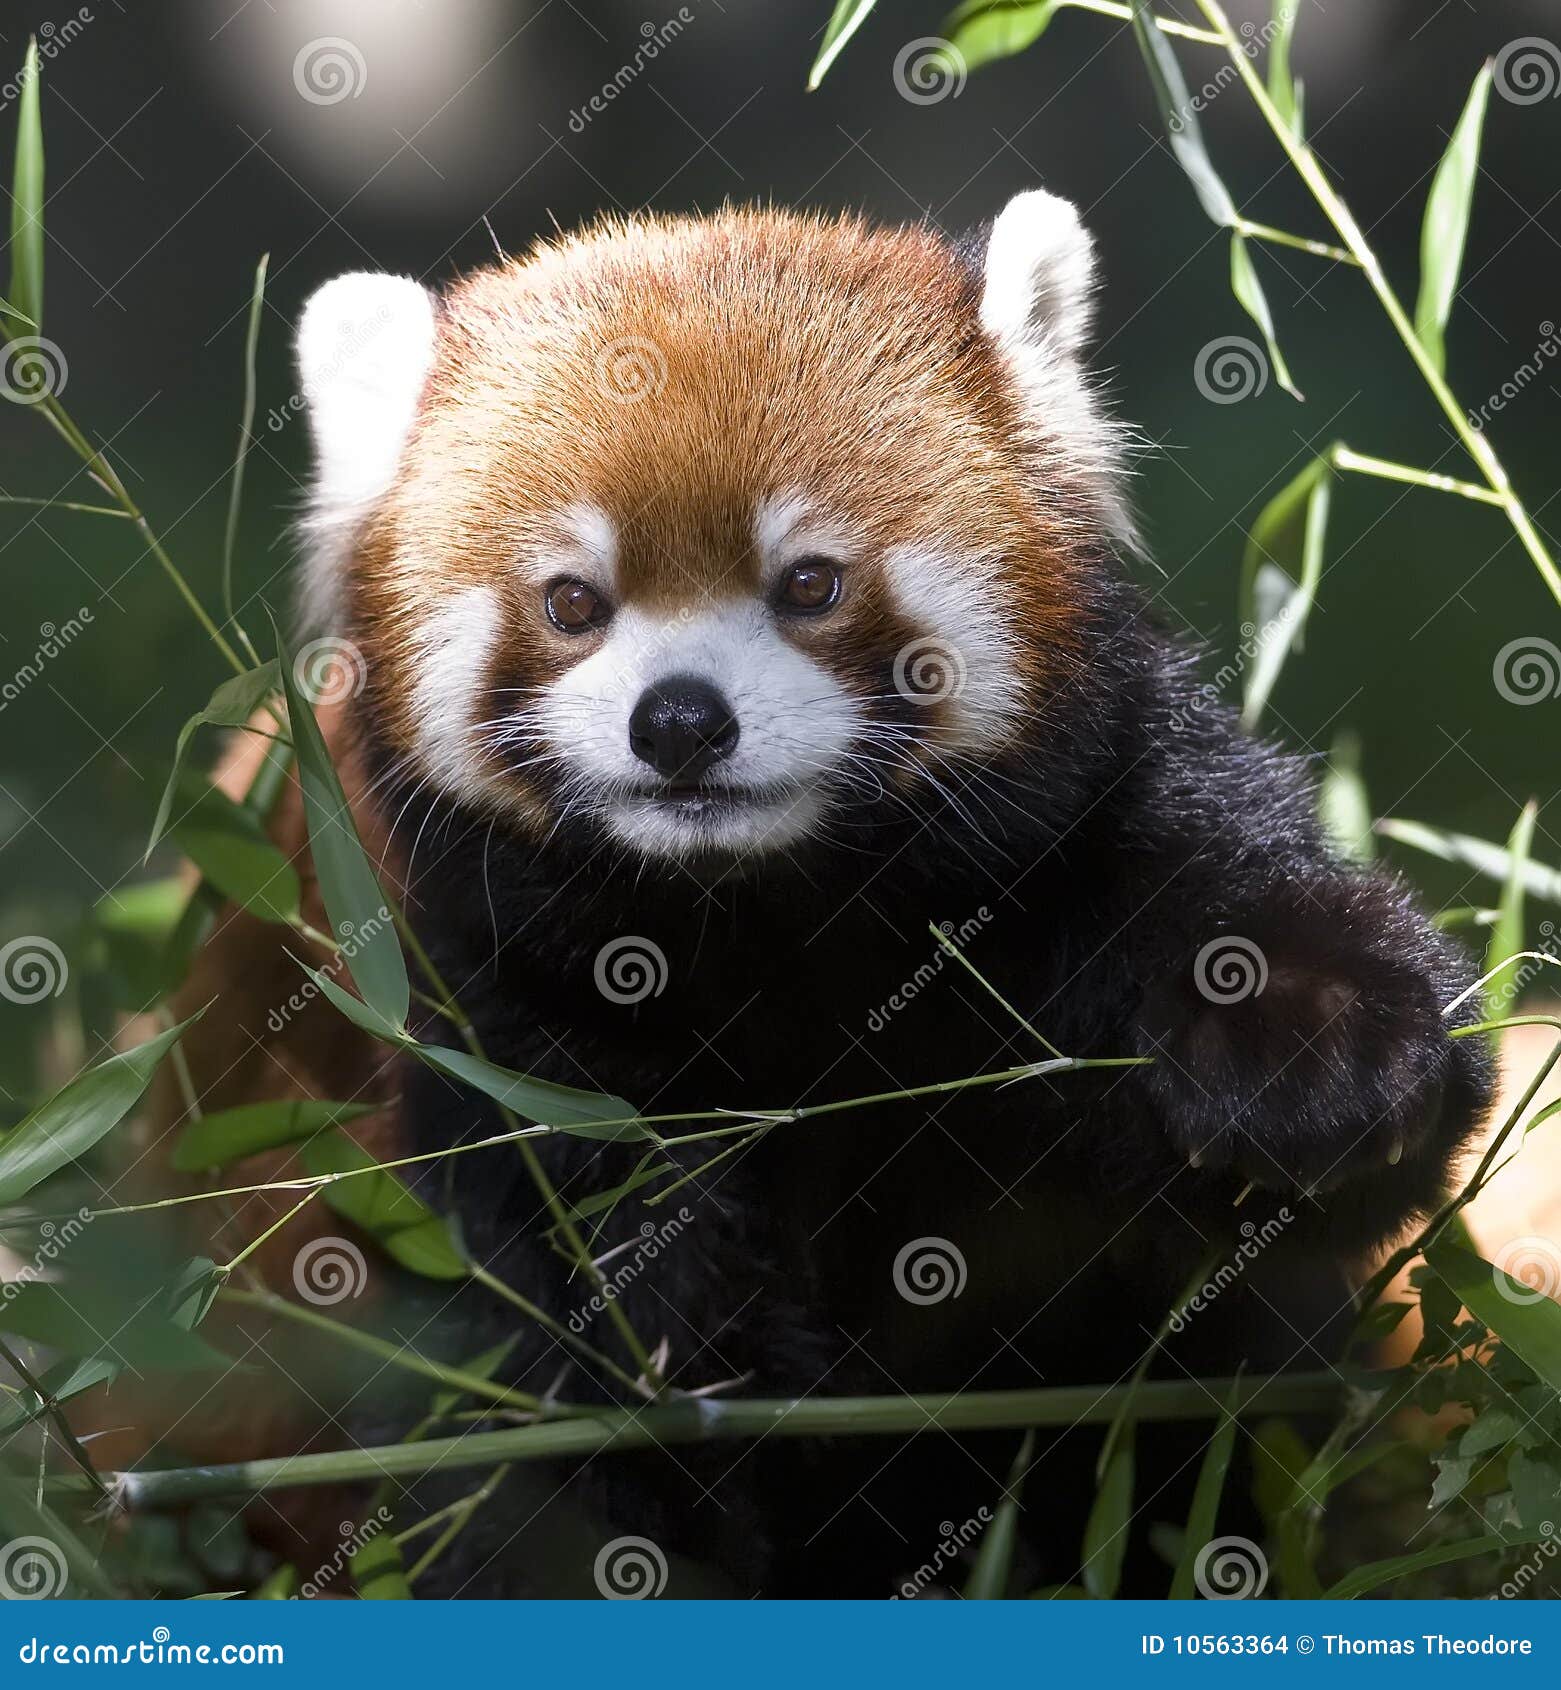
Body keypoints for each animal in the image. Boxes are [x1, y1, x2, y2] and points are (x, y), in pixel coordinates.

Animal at [162, 194, 1495, 1597]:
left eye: (808, 581)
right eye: (573, 602)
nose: (680, 723)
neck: (769, 914)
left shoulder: (1090, 840)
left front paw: (1312, 1043)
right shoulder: (467, 989)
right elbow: (525, 1337)